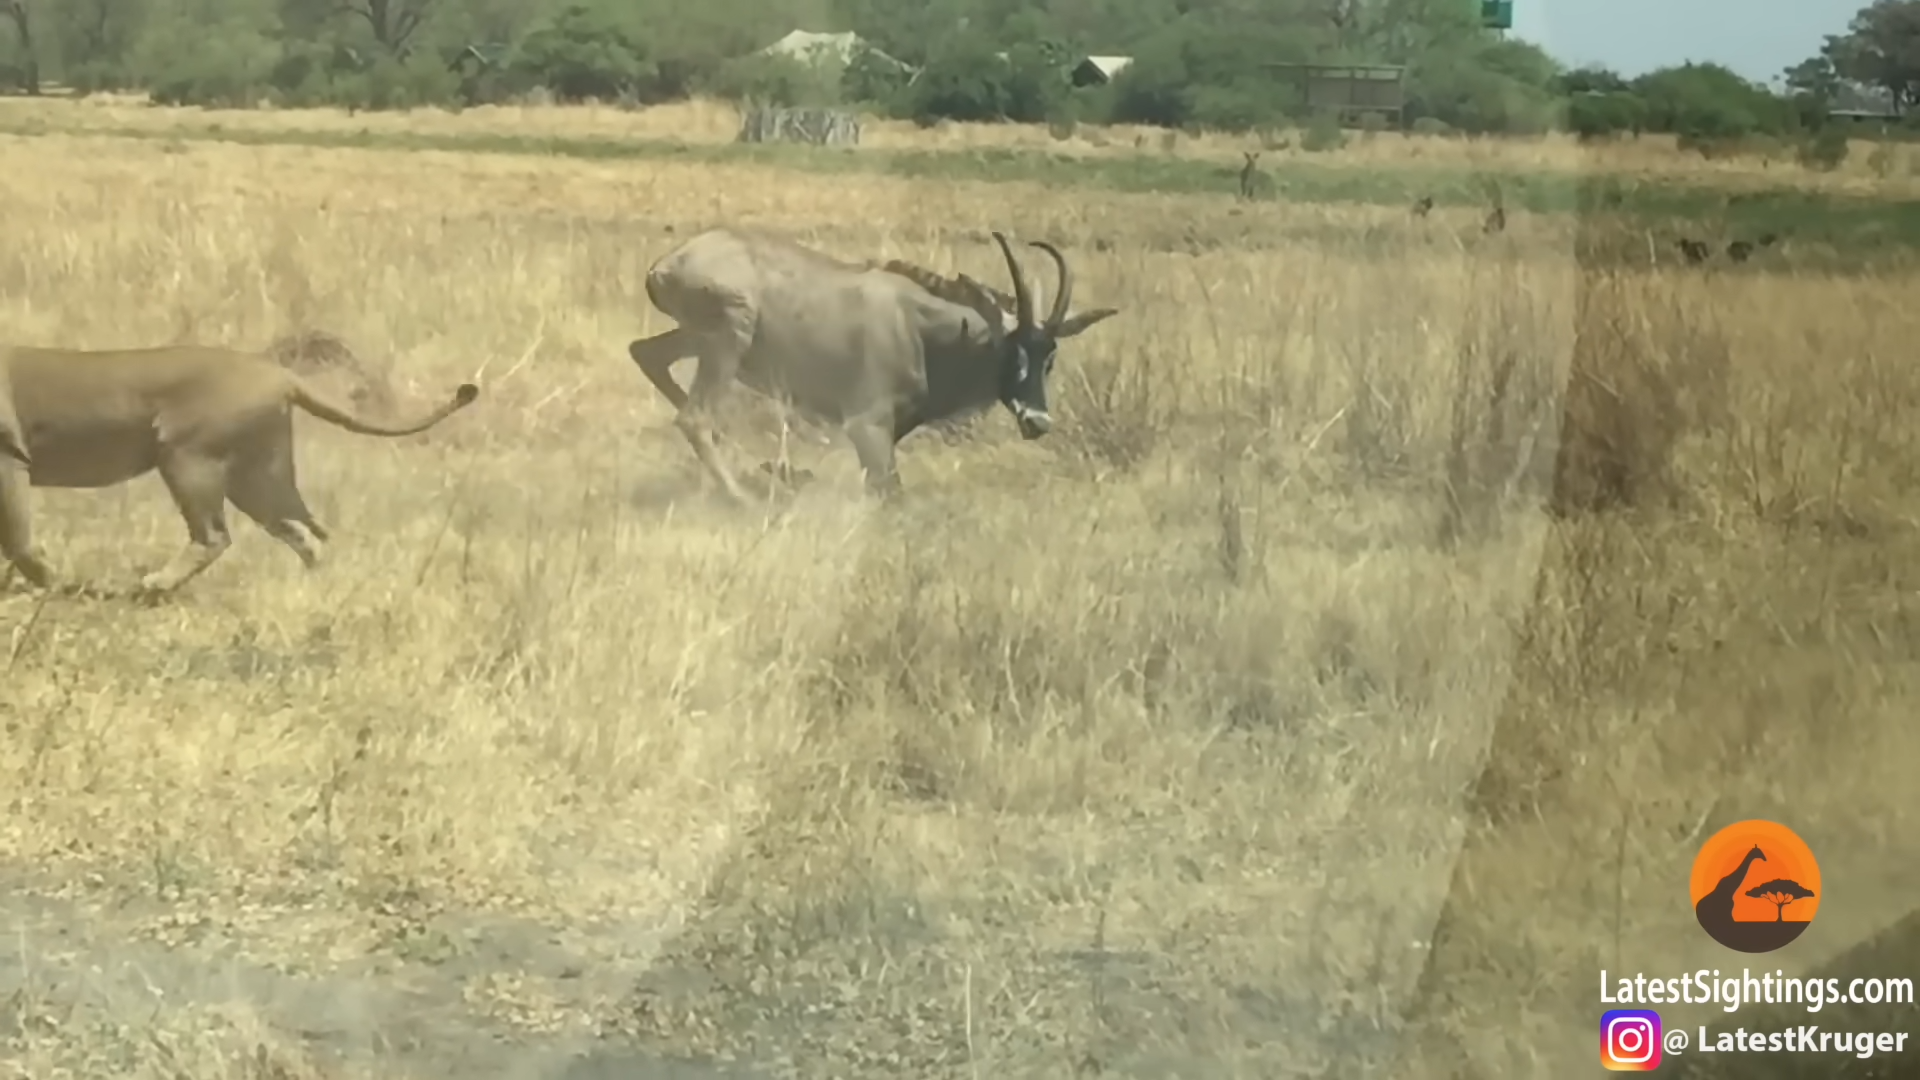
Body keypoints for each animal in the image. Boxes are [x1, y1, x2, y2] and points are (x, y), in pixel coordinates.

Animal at [0, 343, 479, 597]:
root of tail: (282, 375)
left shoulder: (10, 460)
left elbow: (19, 538)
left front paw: (51, 585)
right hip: (257, 477)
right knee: (304, 530)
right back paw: (315, 581)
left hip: (187, 460)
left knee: (214, 536)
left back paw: (152, 585)